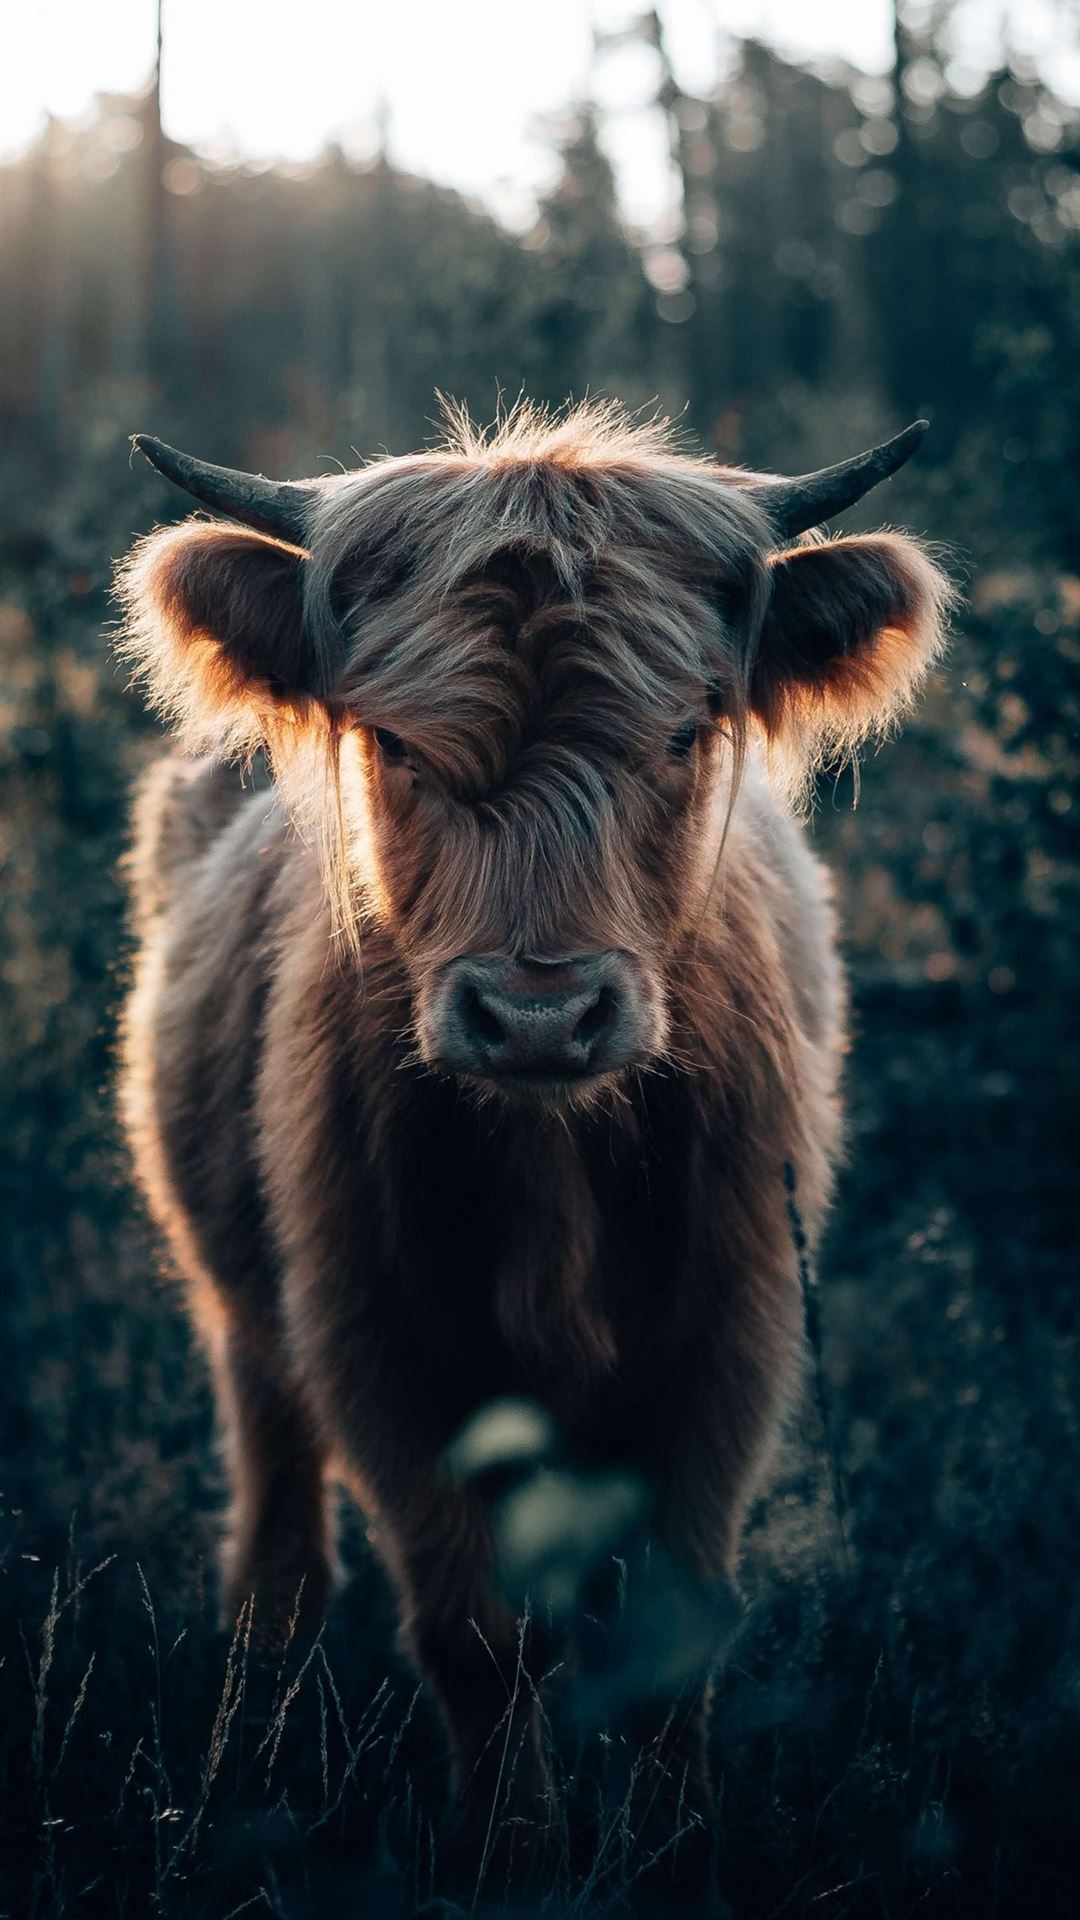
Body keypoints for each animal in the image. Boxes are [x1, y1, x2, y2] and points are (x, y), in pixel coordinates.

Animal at [116, 401, 949, 1903]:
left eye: (683, 735)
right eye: (392, 747)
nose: (542, 1013)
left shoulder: (733, 1328)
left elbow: (671, 1625)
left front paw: (676, 1855)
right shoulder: (377, 1336)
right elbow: (476, 1639)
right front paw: (513, 1856)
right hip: (242, 1310)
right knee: (278, 1526)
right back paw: (250, 1735)